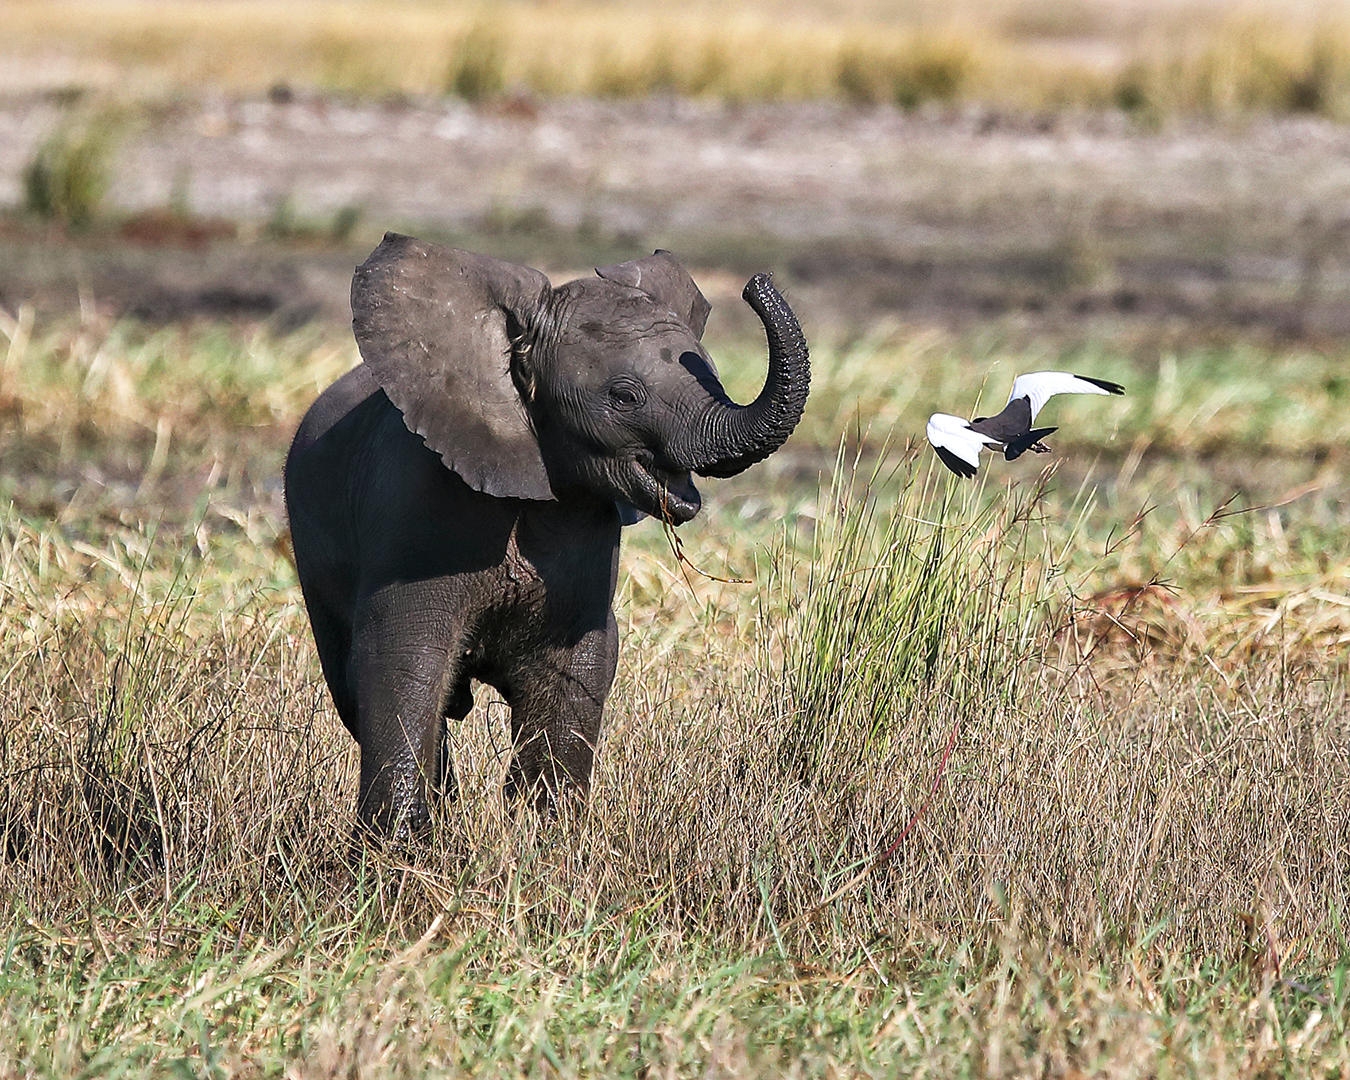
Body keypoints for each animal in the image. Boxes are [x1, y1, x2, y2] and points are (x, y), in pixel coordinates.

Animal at [284, 232, 809, 836]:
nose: (756, 282)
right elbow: (403, 662)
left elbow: (574, 667)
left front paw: (546, 840)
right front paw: (395, 851)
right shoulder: (412, 511)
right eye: (624, 396)